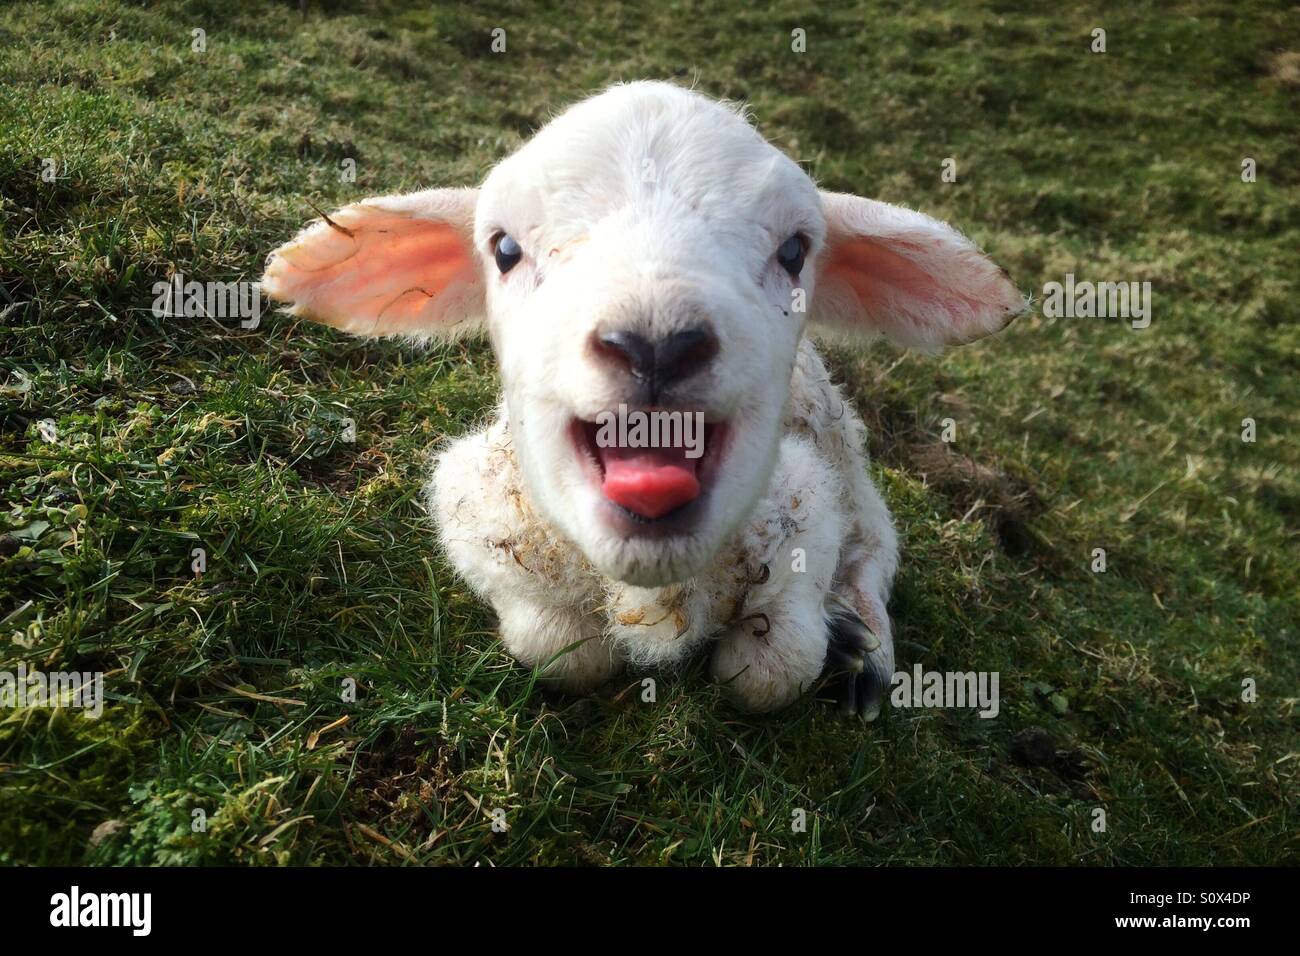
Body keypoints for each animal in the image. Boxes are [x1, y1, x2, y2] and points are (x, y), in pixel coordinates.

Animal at [261, 81, 1024, 716]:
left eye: (794, 251)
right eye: (504, 250)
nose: (655, 343)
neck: (651, 588)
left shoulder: (809, 502)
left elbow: (772, 669)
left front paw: (831, 644)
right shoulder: (471, 506)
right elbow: (560, 652)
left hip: (852, 476)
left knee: (874, 557)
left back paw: (863, 650)